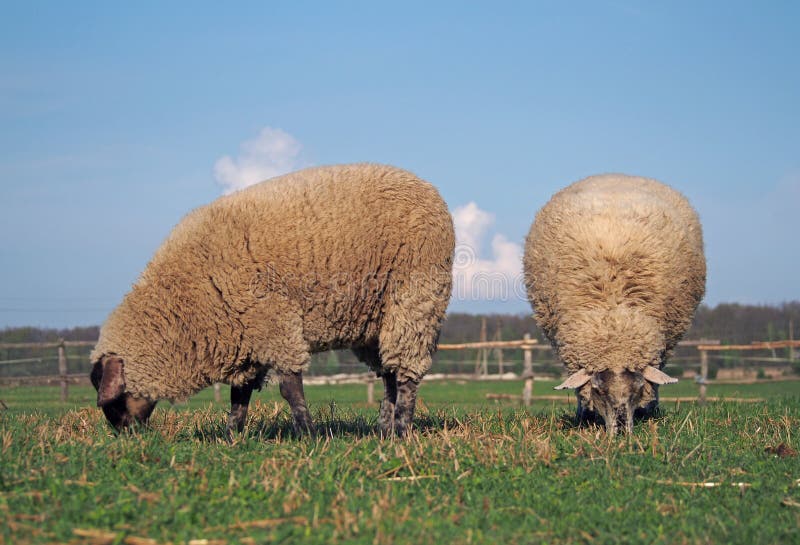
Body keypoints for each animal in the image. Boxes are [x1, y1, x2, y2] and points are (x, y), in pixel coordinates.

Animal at [90, 163, 455, 437]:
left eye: (113, 400)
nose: (124, 436)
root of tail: (430, 190)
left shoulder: (272, 320)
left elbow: (290, 388)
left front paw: (308, 433)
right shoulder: (245, 337)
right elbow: (240, 394)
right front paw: (232, 435)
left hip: (414, 299)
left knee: (406, 373)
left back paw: (402, 431)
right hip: (376, 323)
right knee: (389, 373)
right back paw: (384, 429)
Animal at [523, 174, 705, 434]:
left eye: (638, 388)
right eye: (598, 390)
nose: (620, 430)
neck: (613, 311)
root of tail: (617, 175)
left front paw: (647, 410)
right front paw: (584, 415)